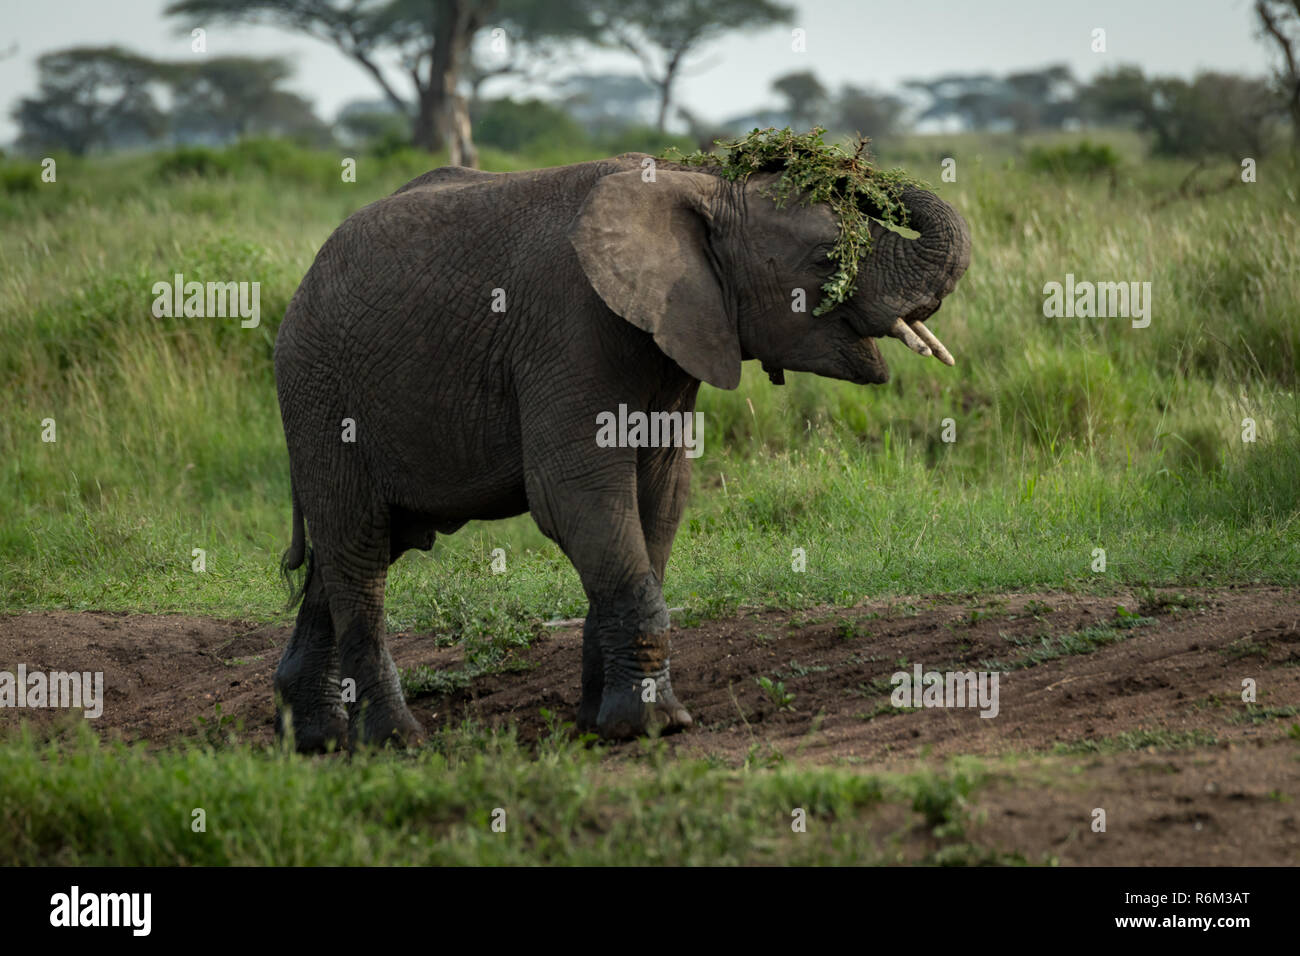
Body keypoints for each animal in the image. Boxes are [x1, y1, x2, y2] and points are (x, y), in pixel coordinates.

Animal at [272, 151, 971, 751]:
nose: (803, 152)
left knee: (353, 550)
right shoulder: (568, 328)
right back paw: (396, 741)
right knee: (358, 548)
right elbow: (575, 496)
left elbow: (658, 501)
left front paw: (599, 724)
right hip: (321, 395)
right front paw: (654, 727)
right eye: (828, 259)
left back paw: (317, 740)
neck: (695, 189)